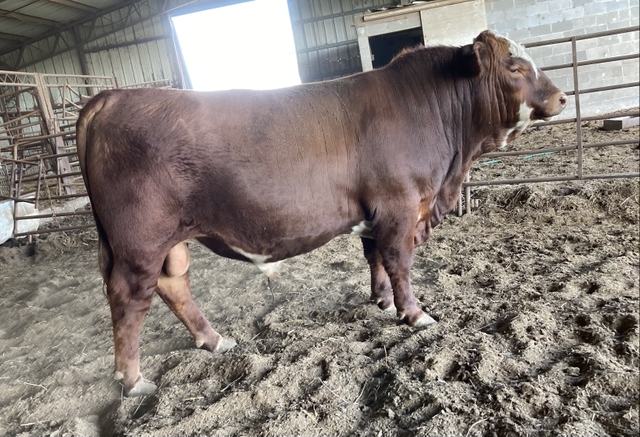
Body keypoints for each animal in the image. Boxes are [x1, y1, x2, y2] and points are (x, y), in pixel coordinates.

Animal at [76, 30, 566, 396]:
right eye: (514, 67)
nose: (561, 97)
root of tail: (111, 97)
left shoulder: (375, 212)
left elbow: (374, 256)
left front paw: (381, 300)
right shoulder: (400, 205)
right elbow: (399, 261)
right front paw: (413, 313)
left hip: (169, 240)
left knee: (173, 285)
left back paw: (214, 341)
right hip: (140, 240)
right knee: (130, 298)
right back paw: (133, 380)